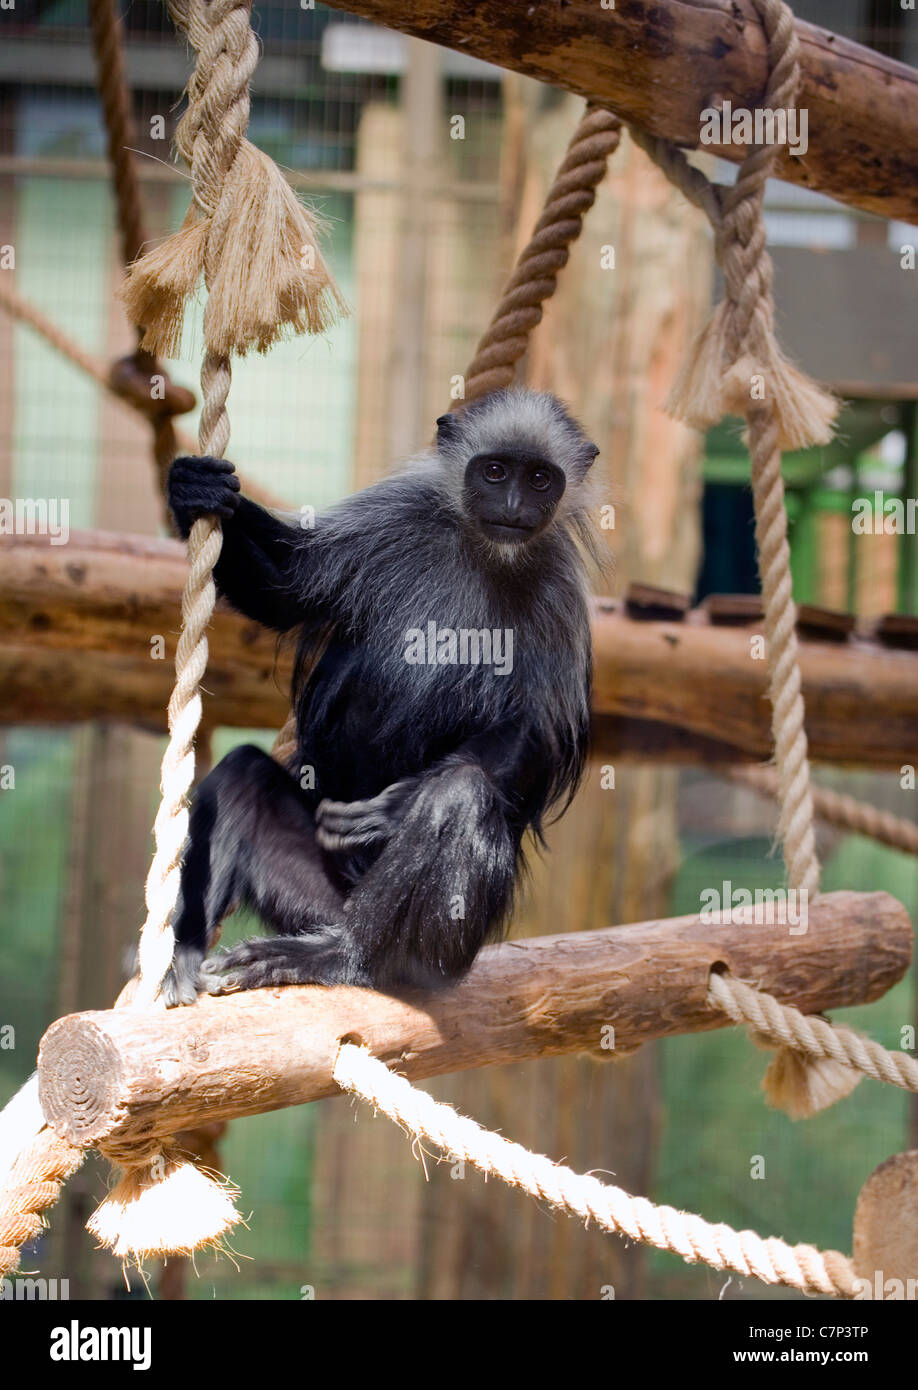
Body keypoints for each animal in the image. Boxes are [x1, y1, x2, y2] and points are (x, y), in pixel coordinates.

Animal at [162, 388, 601, 1006]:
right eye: (494, 472)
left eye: (541, 479)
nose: (515, 506)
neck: (485, 548)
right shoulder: (392, 516)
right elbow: (285, 588)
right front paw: (192, 490)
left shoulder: (561, 588)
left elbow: (535, 731)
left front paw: (395, 807)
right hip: (314, 894)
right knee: (242, 775)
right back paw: (184, 953)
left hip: (445, 947)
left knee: (458, 794)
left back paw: (340, 956)